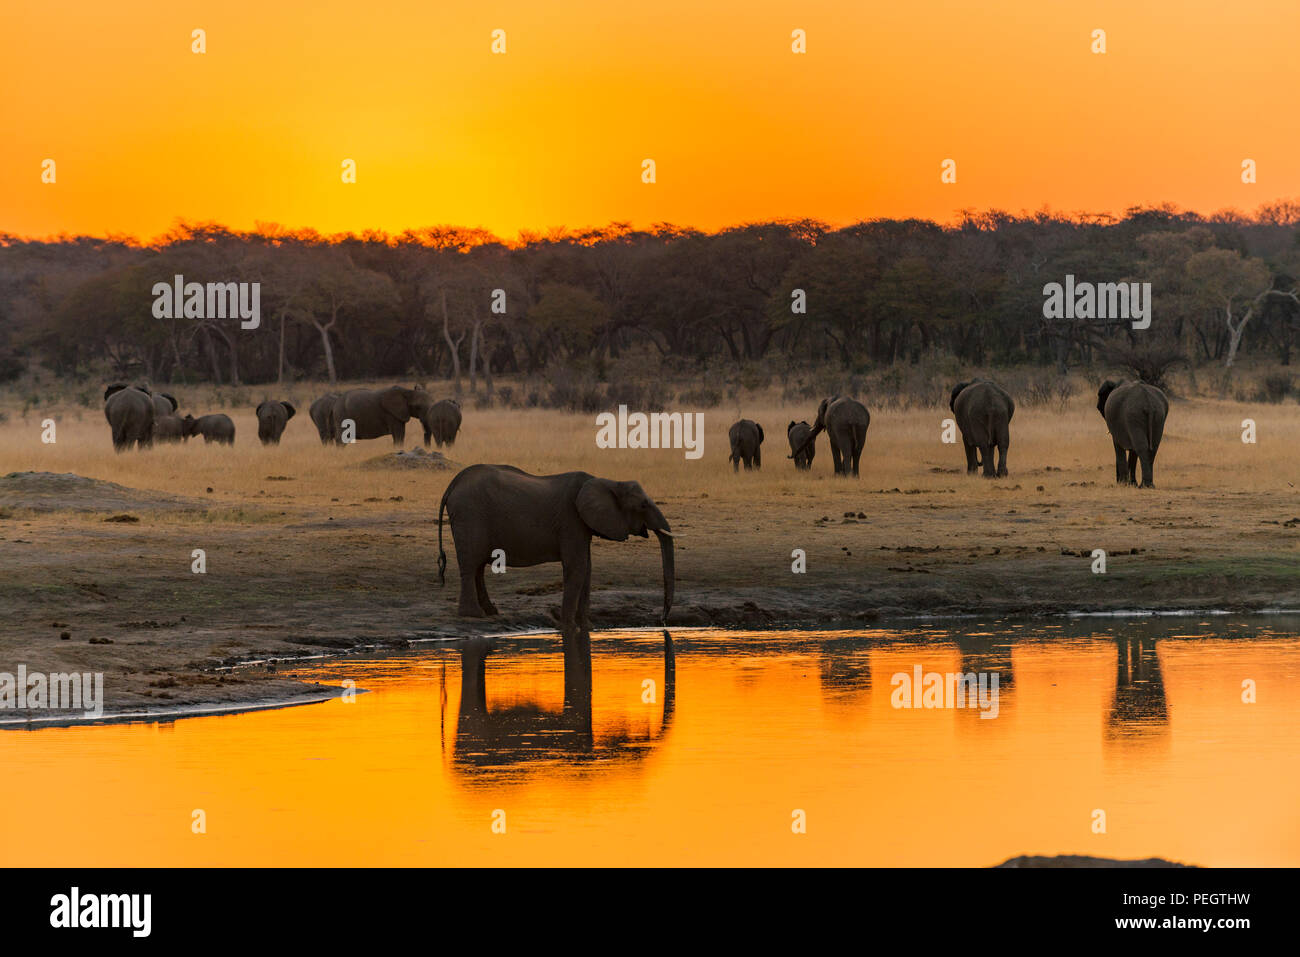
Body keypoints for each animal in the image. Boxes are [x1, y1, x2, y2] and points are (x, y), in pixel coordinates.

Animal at [437, 464, 674, 637]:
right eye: (643, 505)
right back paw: (473, 614)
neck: (606, 481)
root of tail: (453, 484)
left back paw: (490, 613)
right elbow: (577, 567)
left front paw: (588, 629)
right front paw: (568, 630)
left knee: (478, 565)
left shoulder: (582, 525)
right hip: (470, 514)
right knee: (471, 563)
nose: (663, 620)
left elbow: (586, 569)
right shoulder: (571, 520)